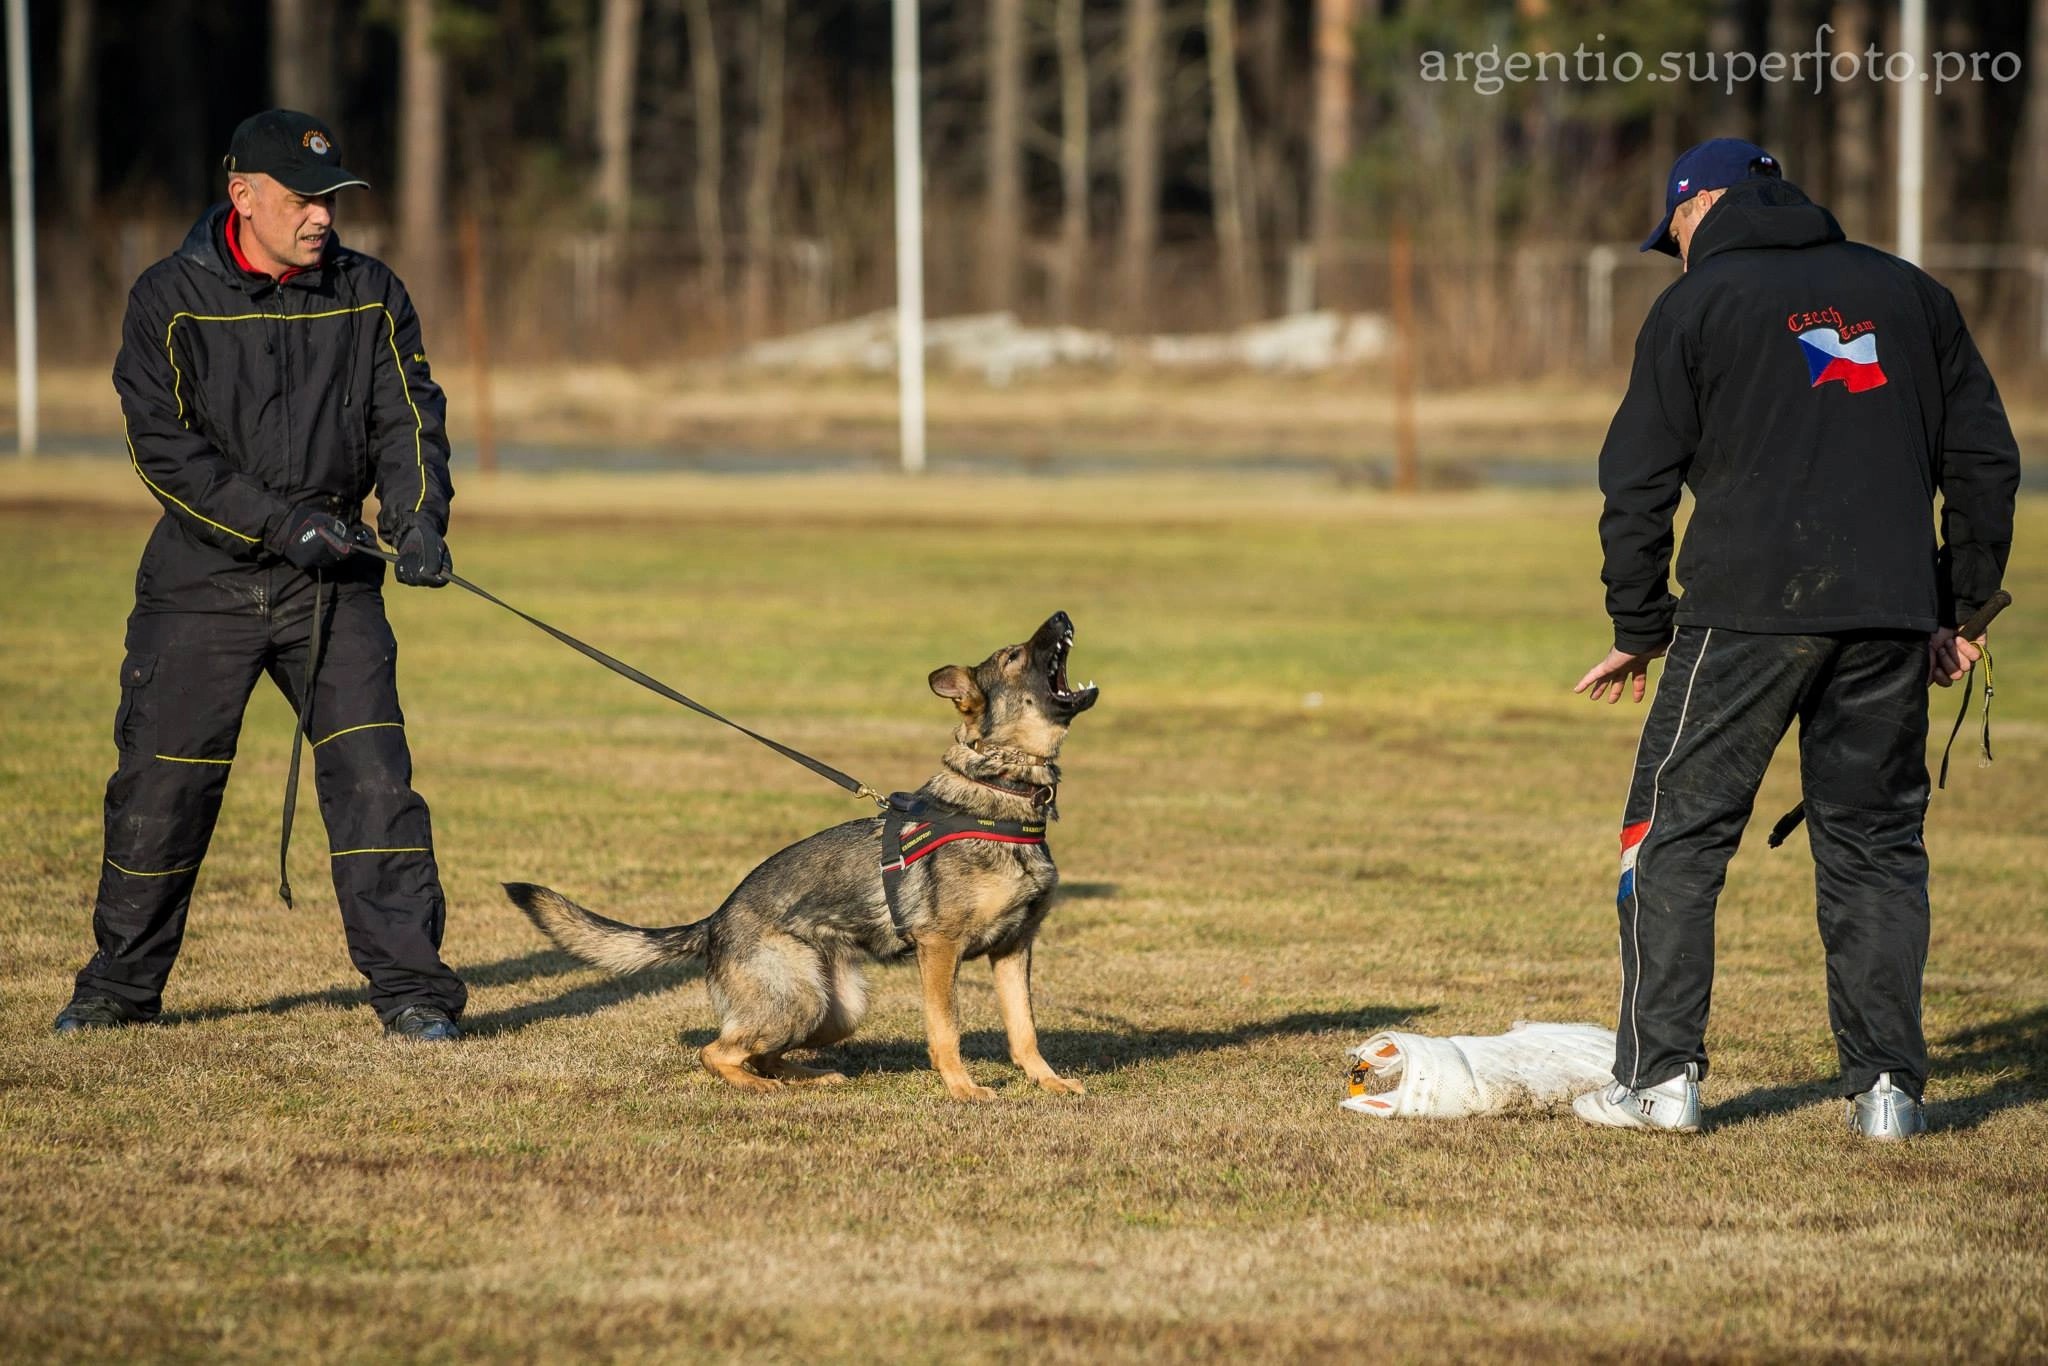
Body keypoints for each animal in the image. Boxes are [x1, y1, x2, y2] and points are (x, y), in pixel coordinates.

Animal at [503, 614, 1097, 1105]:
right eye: (1013, 656)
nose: (1062, 615)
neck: (1003, 789)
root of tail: (714, 921)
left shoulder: (1013, 950)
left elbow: (1024, 1029)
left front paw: (1048, 1082)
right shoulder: (939, 949)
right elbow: (945, 1028)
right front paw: (963, 1089)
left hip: (838, 1009)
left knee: (763, 1053)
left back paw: (809, 1077)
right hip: (800, 999)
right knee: (716, 1052)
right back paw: (761, 1087)